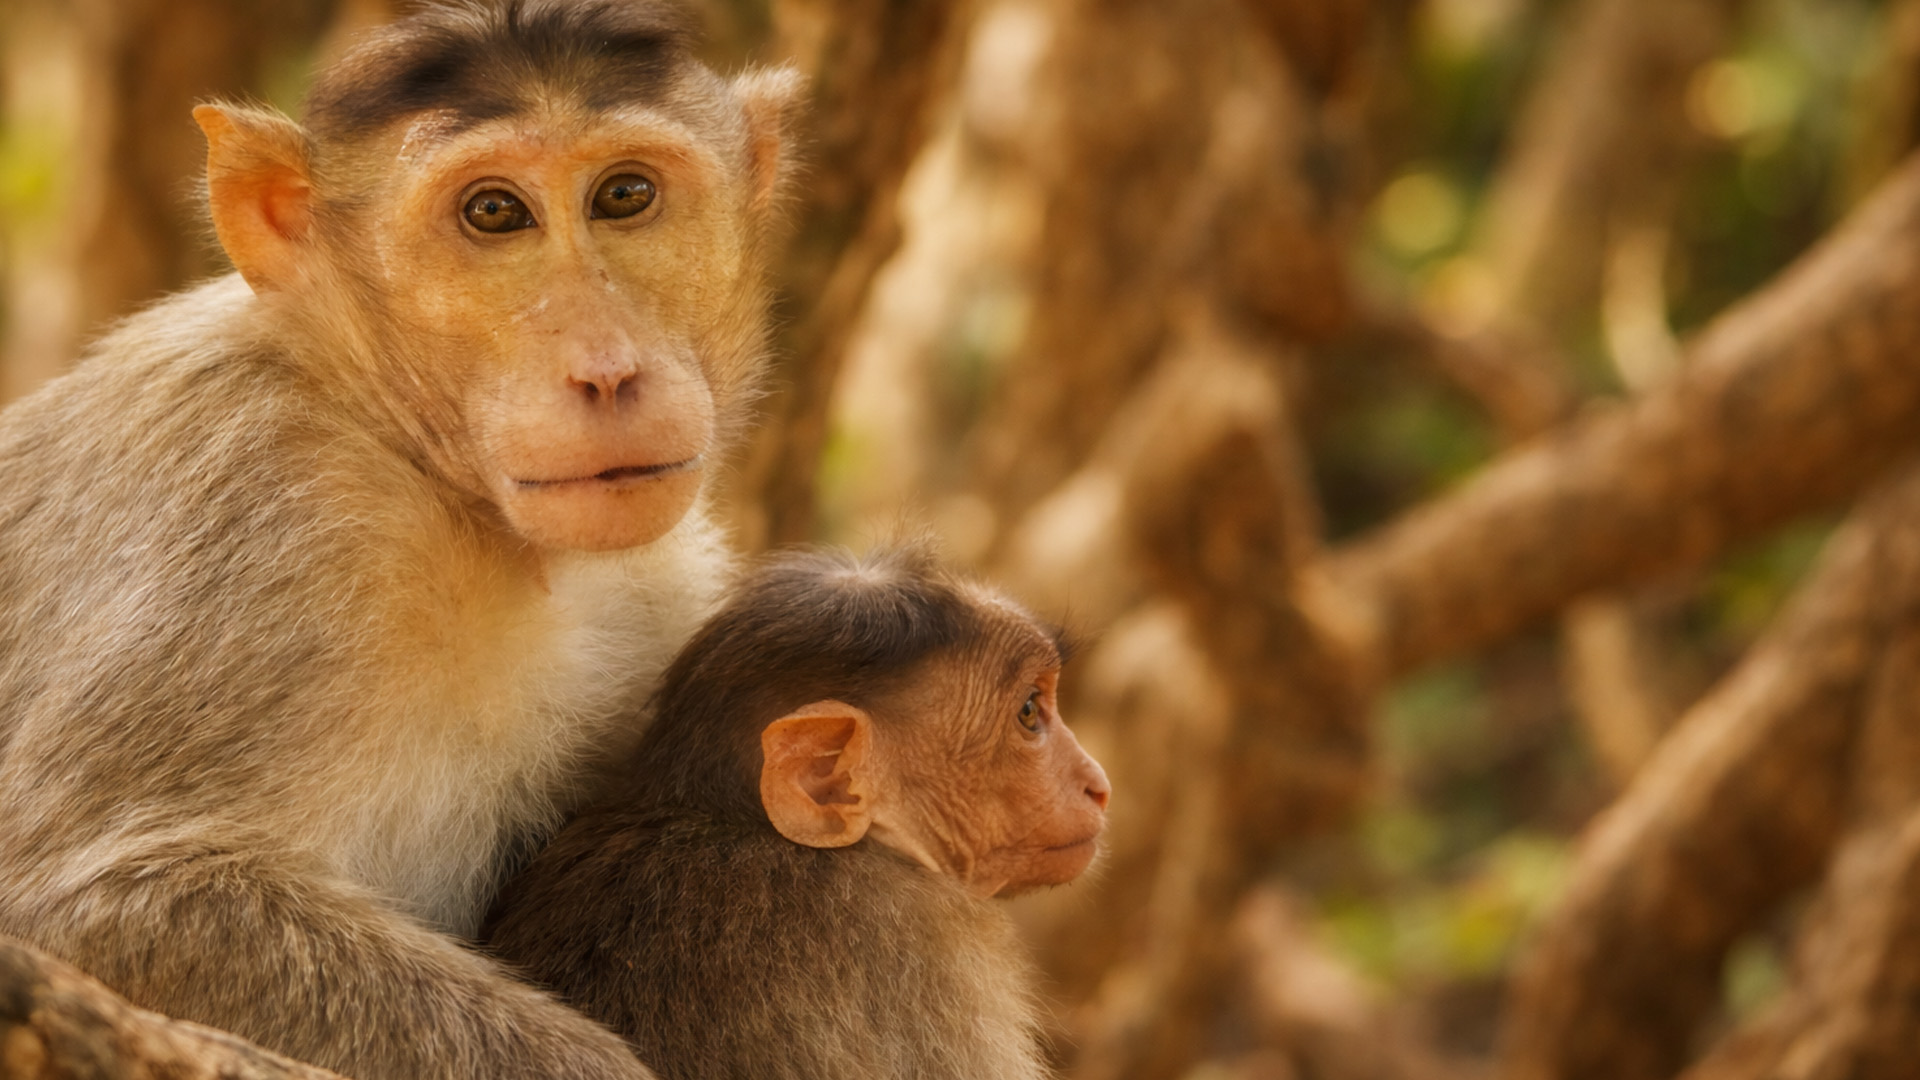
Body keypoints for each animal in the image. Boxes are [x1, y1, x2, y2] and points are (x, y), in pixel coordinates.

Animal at [0, 3, 801, 1079]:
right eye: (494, 214)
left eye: (625, 196)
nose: (607, 371)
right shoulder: (265, 516)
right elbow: (98, 899)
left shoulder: (666, 582)